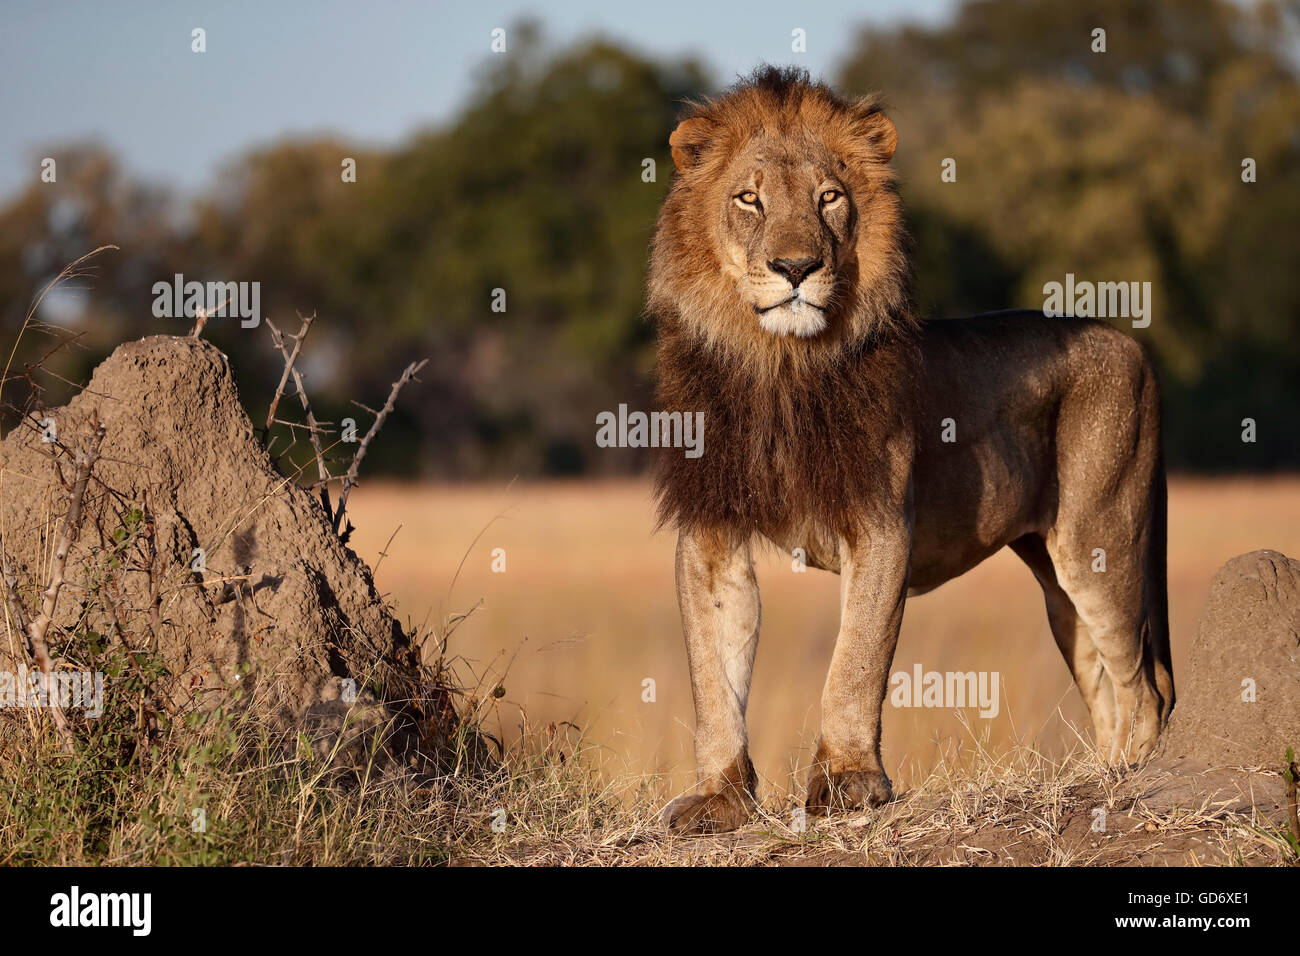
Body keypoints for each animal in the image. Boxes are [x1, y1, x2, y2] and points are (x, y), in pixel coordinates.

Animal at [648, 66, 1174, 835]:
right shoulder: (710, 532)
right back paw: (1097, 779)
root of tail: (1132, 344)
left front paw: (848, 782)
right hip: (1055, 580)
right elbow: (713, 677)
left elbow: (855, 663)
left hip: (1101, 546)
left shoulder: (881, 524)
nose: (797, 266)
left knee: (1145, 688)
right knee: (1106, 684)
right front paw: (720, 797)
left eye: (829, 198)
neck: (781, 366)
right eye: (749, 198)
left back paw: (1126, 787)